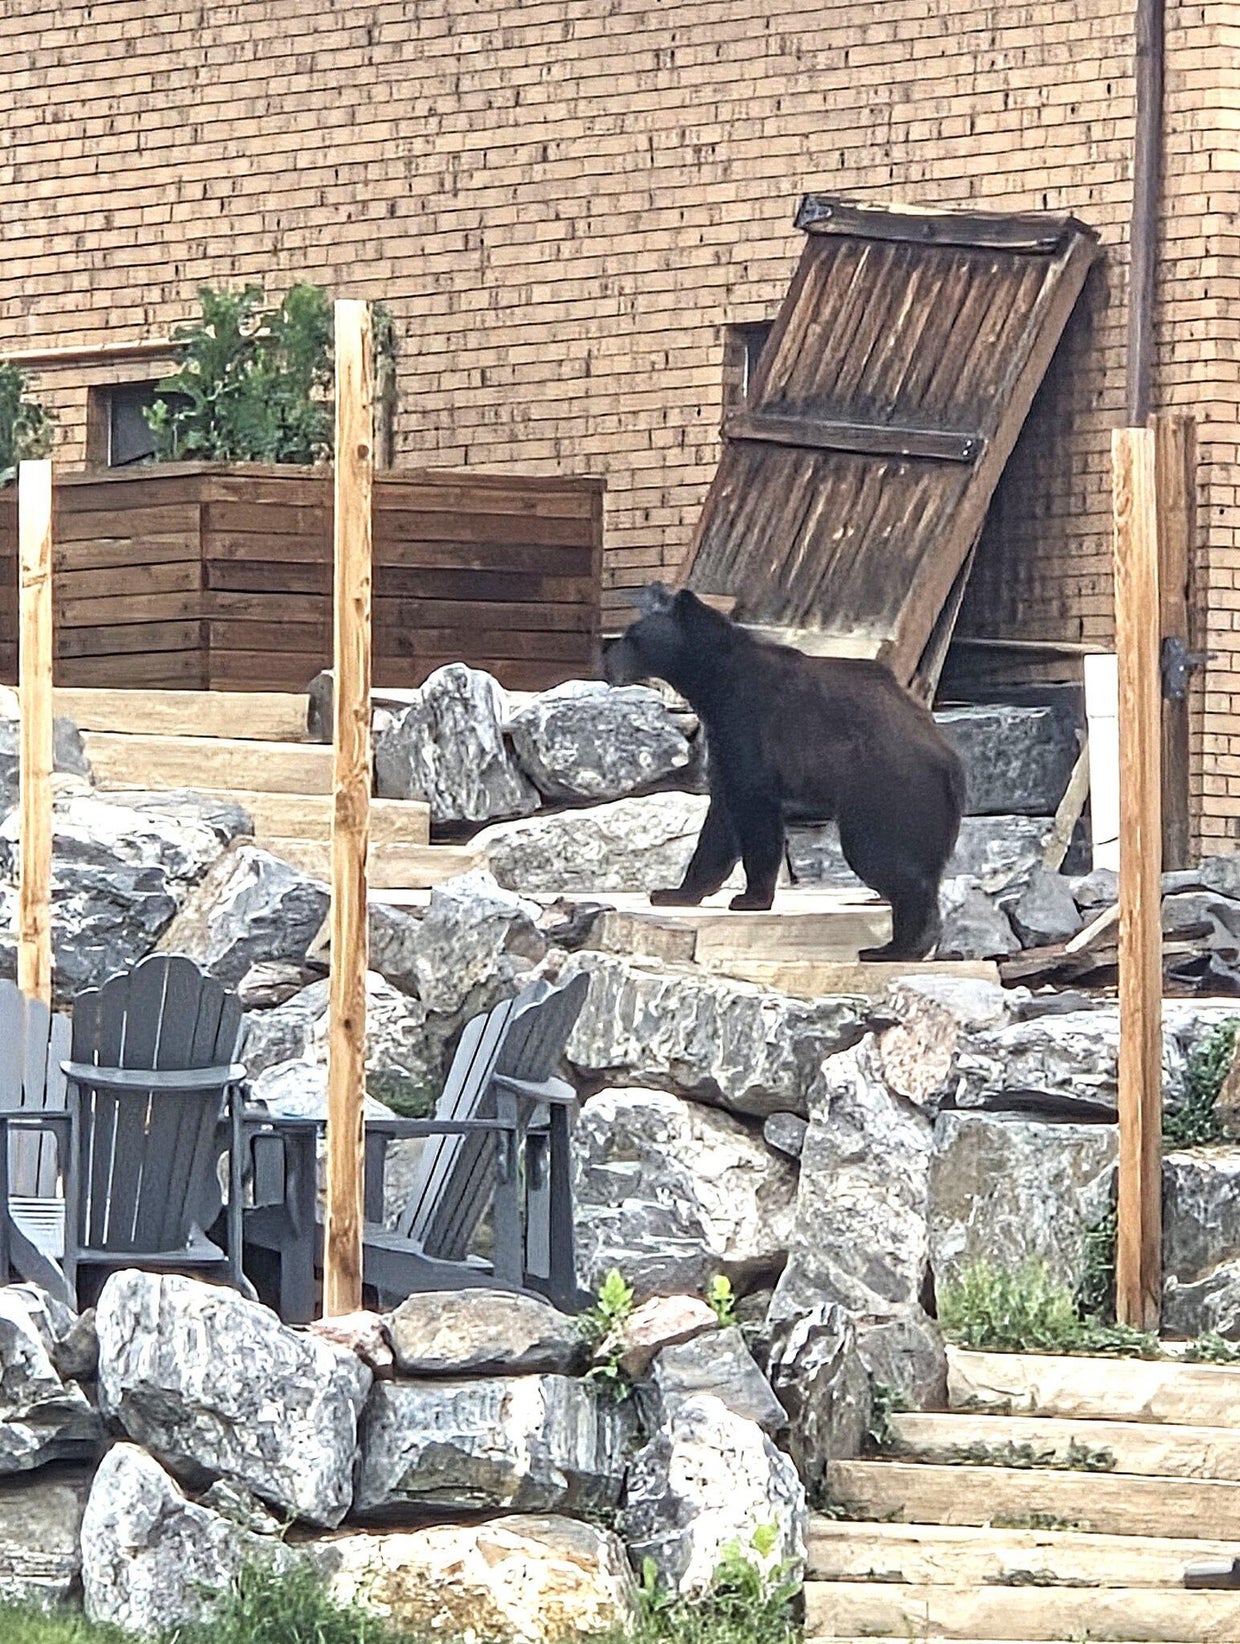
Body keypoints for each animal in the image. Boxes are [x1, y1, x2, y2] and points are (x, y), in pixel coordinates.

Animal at [602, 583, 966, 961]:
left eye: (633, 637)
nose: (609, 662)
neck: (715, 678)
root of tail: (949, 762)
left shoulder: (746, 720)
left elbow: (752, 805)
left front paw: (750, 897)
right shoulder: (722, 735)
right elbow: (720, 817)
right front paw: (675, 892)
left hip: (887, 790)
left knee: (882, 856)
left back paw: (894, 947)